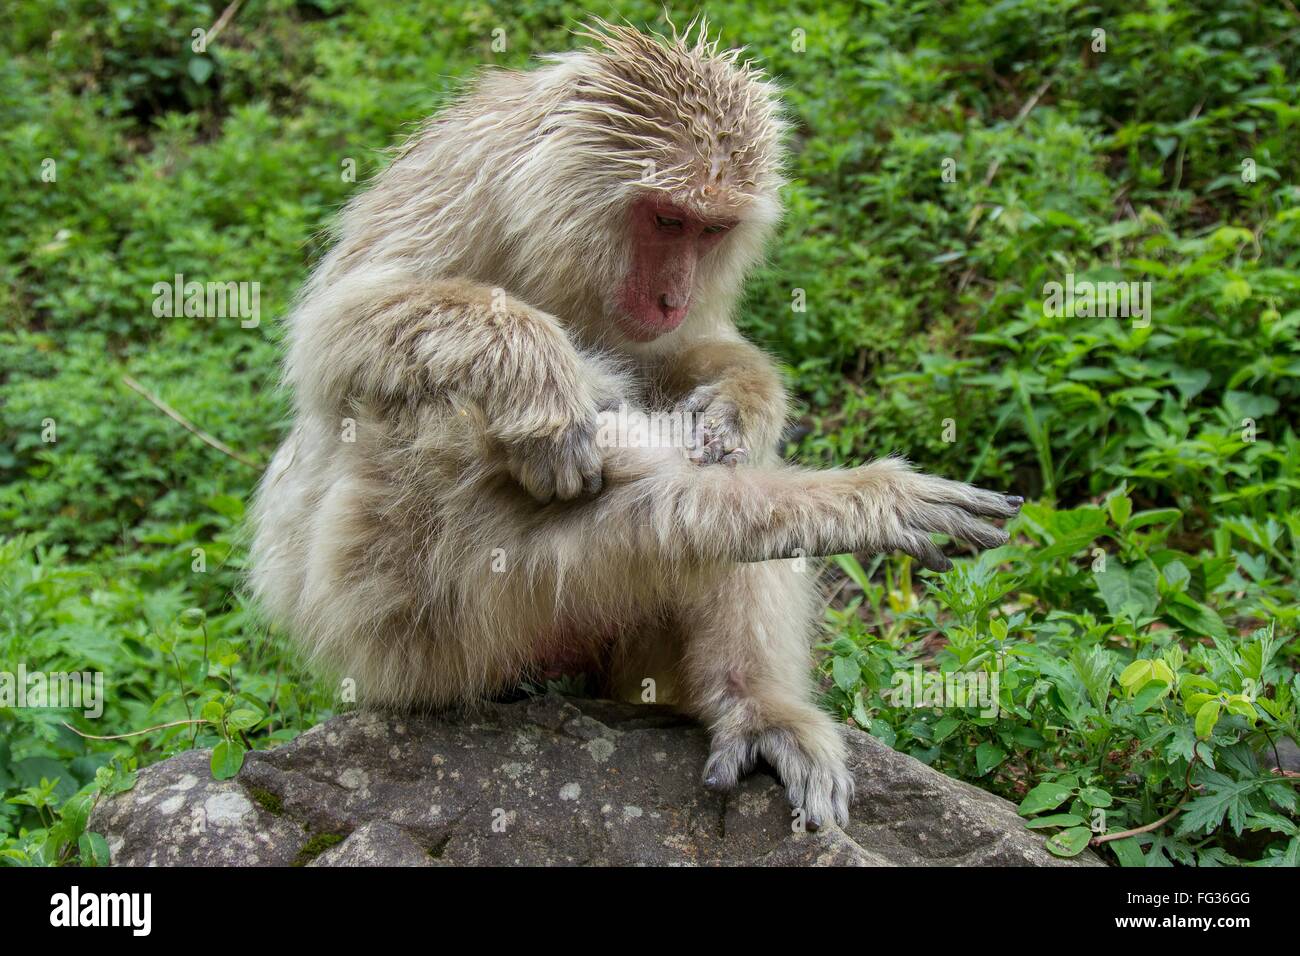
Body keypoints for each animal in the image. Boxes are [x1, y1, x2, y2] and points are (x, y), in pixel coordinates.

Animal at [248, 20, 1022, 830]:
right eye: (667, 220)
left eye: (712, 230)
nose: (671, 296)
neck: (547, 226)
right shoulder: (465, 174)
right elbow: (335, 335)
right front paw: (543, 375)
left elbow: (687, 362)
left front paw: (744, 397)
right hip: (401, 638)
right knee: (430, 416)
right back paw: (773, 508)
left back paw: (751, 692)